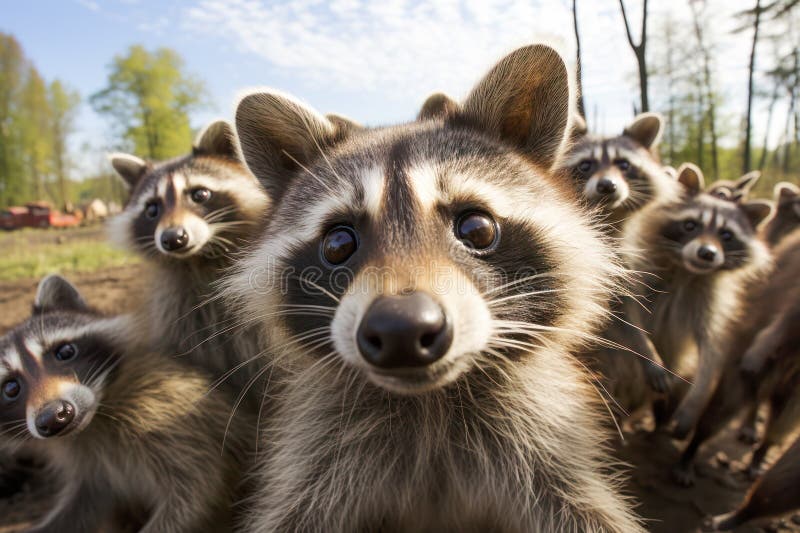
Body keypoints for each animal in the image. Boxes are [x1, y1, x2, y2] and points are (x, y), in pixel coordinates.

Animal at [0, 275, 250, 532]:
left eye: (65, 351)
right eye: (10, 388)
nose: (53, 416)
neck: (94, 421)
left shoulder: (170, 411)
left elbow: (203, 490)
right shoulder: (91, 465)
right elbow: (86, 504)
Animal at [227, 45, 643, 532]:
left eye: (477, 228)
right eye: (337, 243)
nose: (401, 329)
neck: (430, 405)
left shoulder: (547, 447)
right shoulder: (318, 460)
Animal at [623, 163, 772, 441]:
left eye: (726, 235)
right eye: (690, 225)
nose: (707, 254)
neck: (686, 271)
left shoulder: (711, 305)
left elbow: (713, 348)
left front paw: (697, 398)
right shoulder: (642, 271)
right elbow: (627, 310)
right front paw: (648, 352)